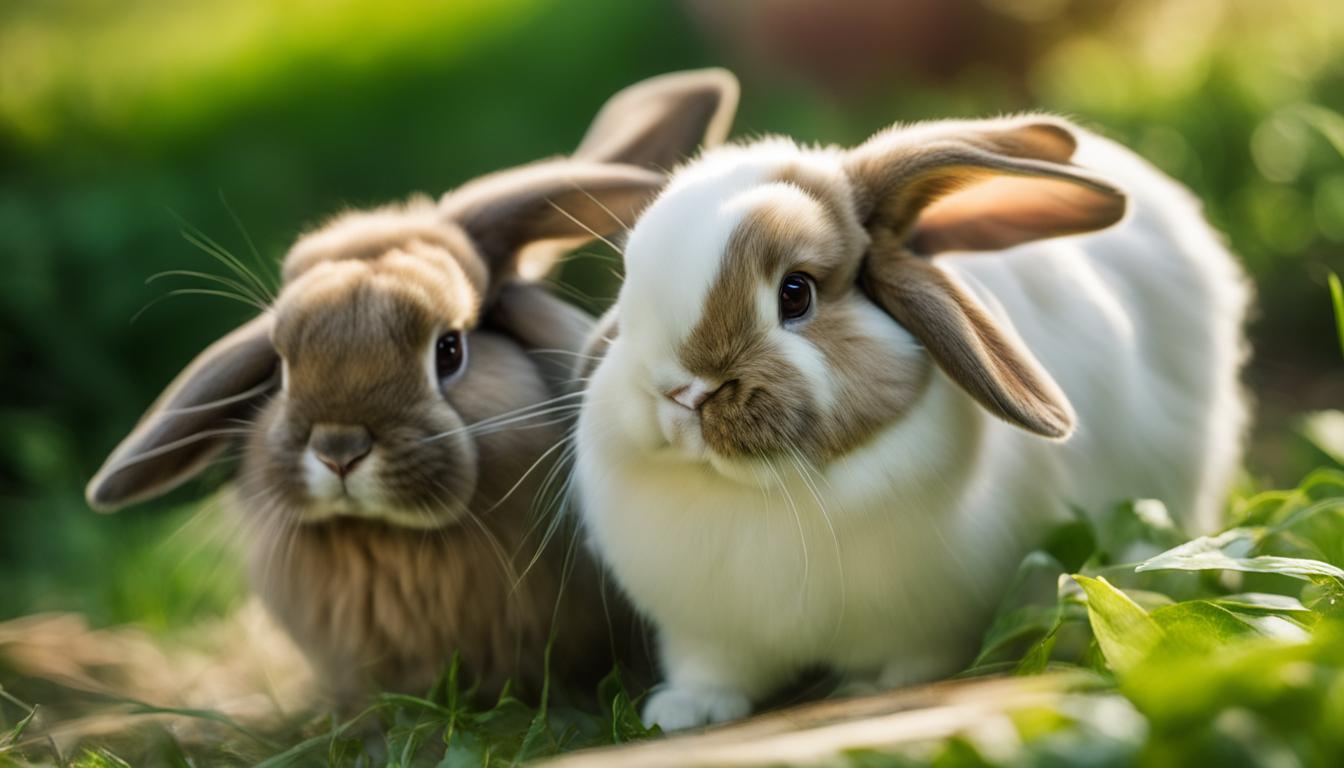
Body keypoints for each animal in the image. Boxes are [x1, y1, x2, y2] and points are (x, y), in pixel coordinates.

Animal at [572, 115, 1250, 729]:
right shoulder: (705, 633)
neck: (769, 492)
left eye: (795, 293)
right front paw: (682, 712)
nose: (676, 391)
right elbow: (711, 669)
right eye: (628, 283)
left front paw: (875, 687)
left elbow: (912, 659)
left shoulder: (925, 621)